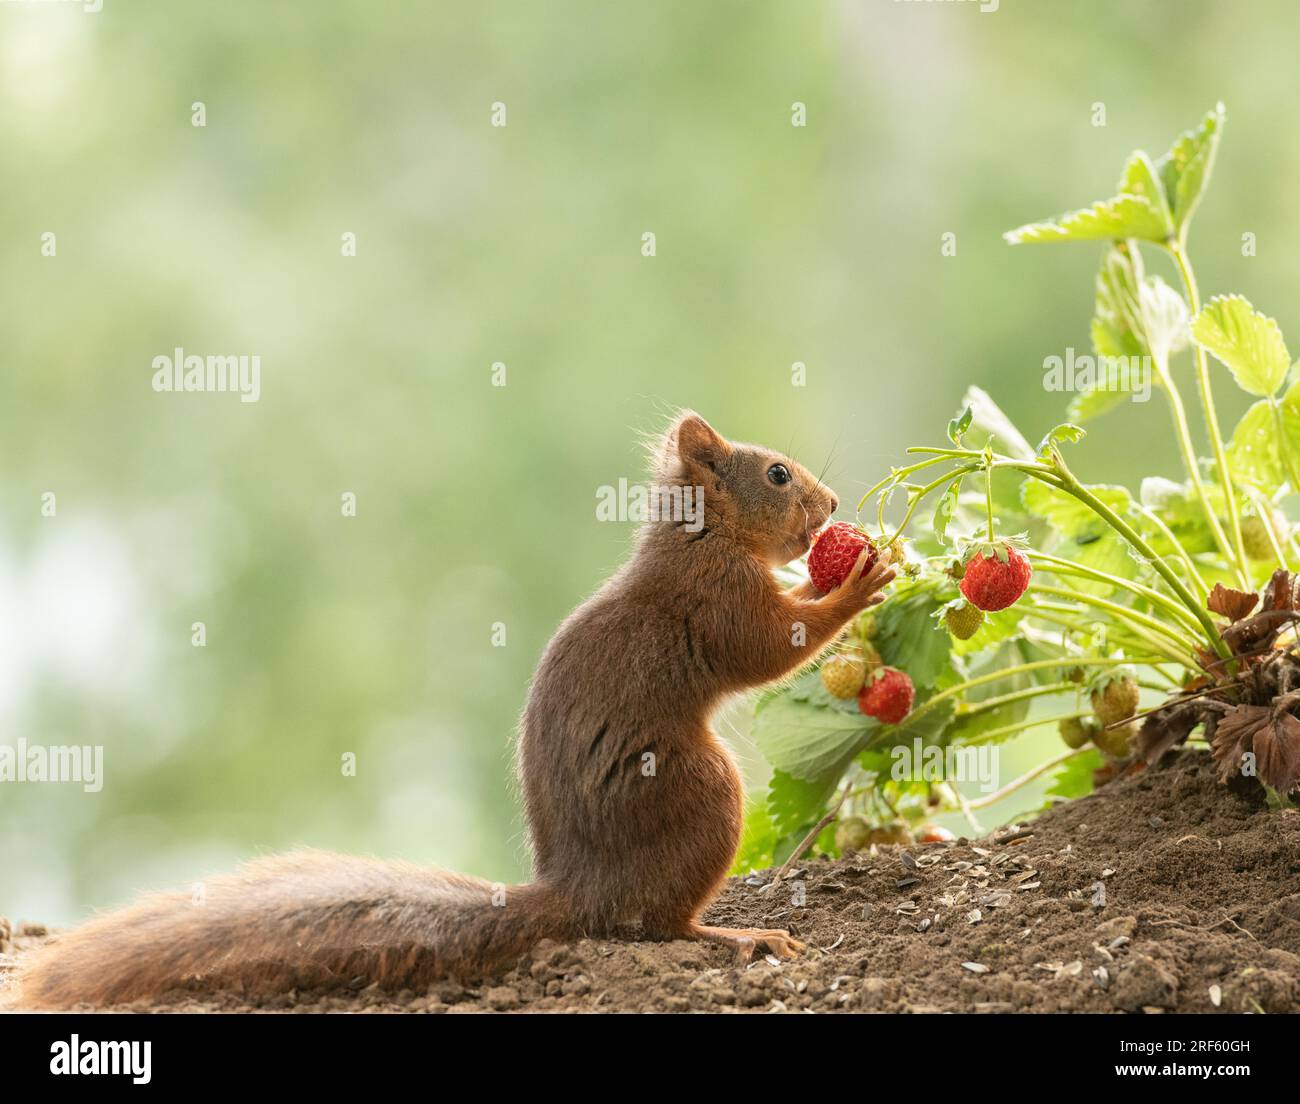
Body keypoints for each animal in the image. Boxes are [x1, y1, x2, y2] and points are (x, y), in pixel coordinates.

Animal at [13, 412, 895, 1009]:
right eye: (777, 474)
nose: (833, 502)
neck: (700, 538)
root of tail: (577, 891)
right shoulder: (716, 603)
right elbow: (772, 646)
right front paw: (857, 583)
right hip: (704, 793)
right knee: (656, 924)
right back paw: (738, 934)